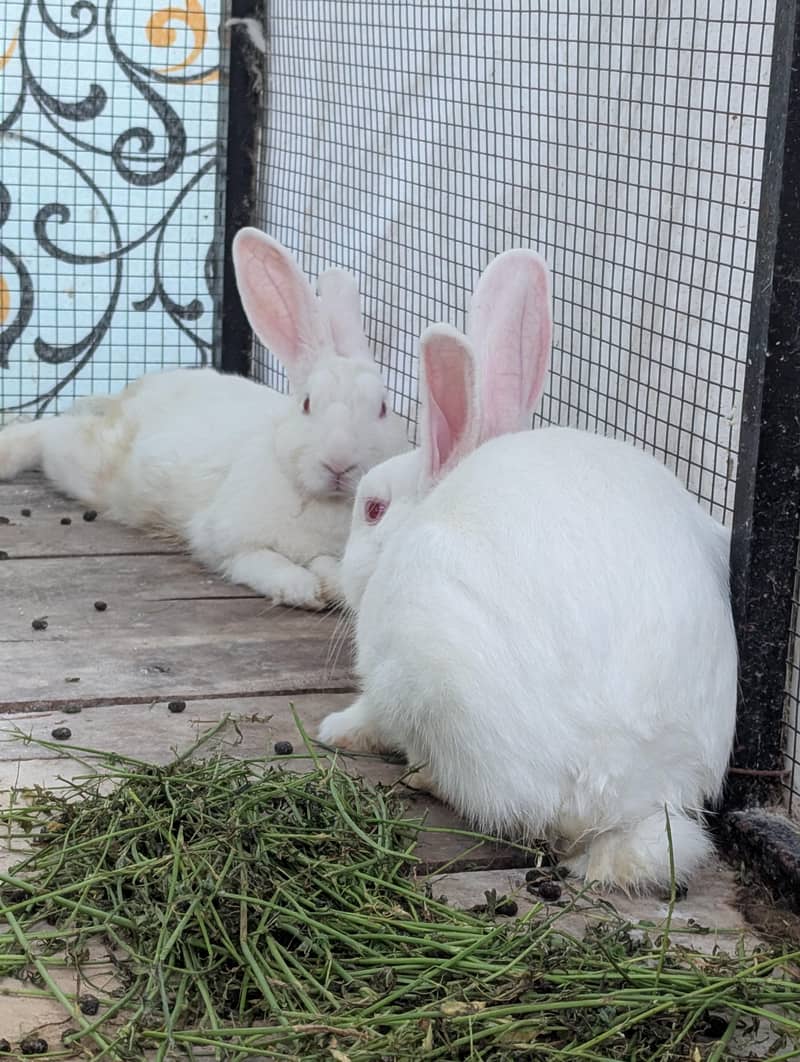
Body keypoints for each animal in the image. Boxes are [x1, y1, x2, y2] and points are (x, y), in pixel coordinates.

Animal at [0, 228, 410, 609]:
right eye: (307, 403)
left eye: (382, 408)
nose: (339, 463)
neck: (320, 500)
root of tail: (132, 393)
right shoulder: (227, 541)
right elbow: (261, 562)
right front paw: (300, 589)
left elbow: (331, 569)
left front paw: (329, 588)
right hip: (86, 466)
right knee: (51, 430)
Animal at [318, 248, 738, 891]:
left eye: (372, 509)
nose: (345, 568)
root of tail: (619, 778)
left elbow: (370, 714)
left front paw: (336, 729)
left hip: (435, 682)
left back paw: (425, 776)